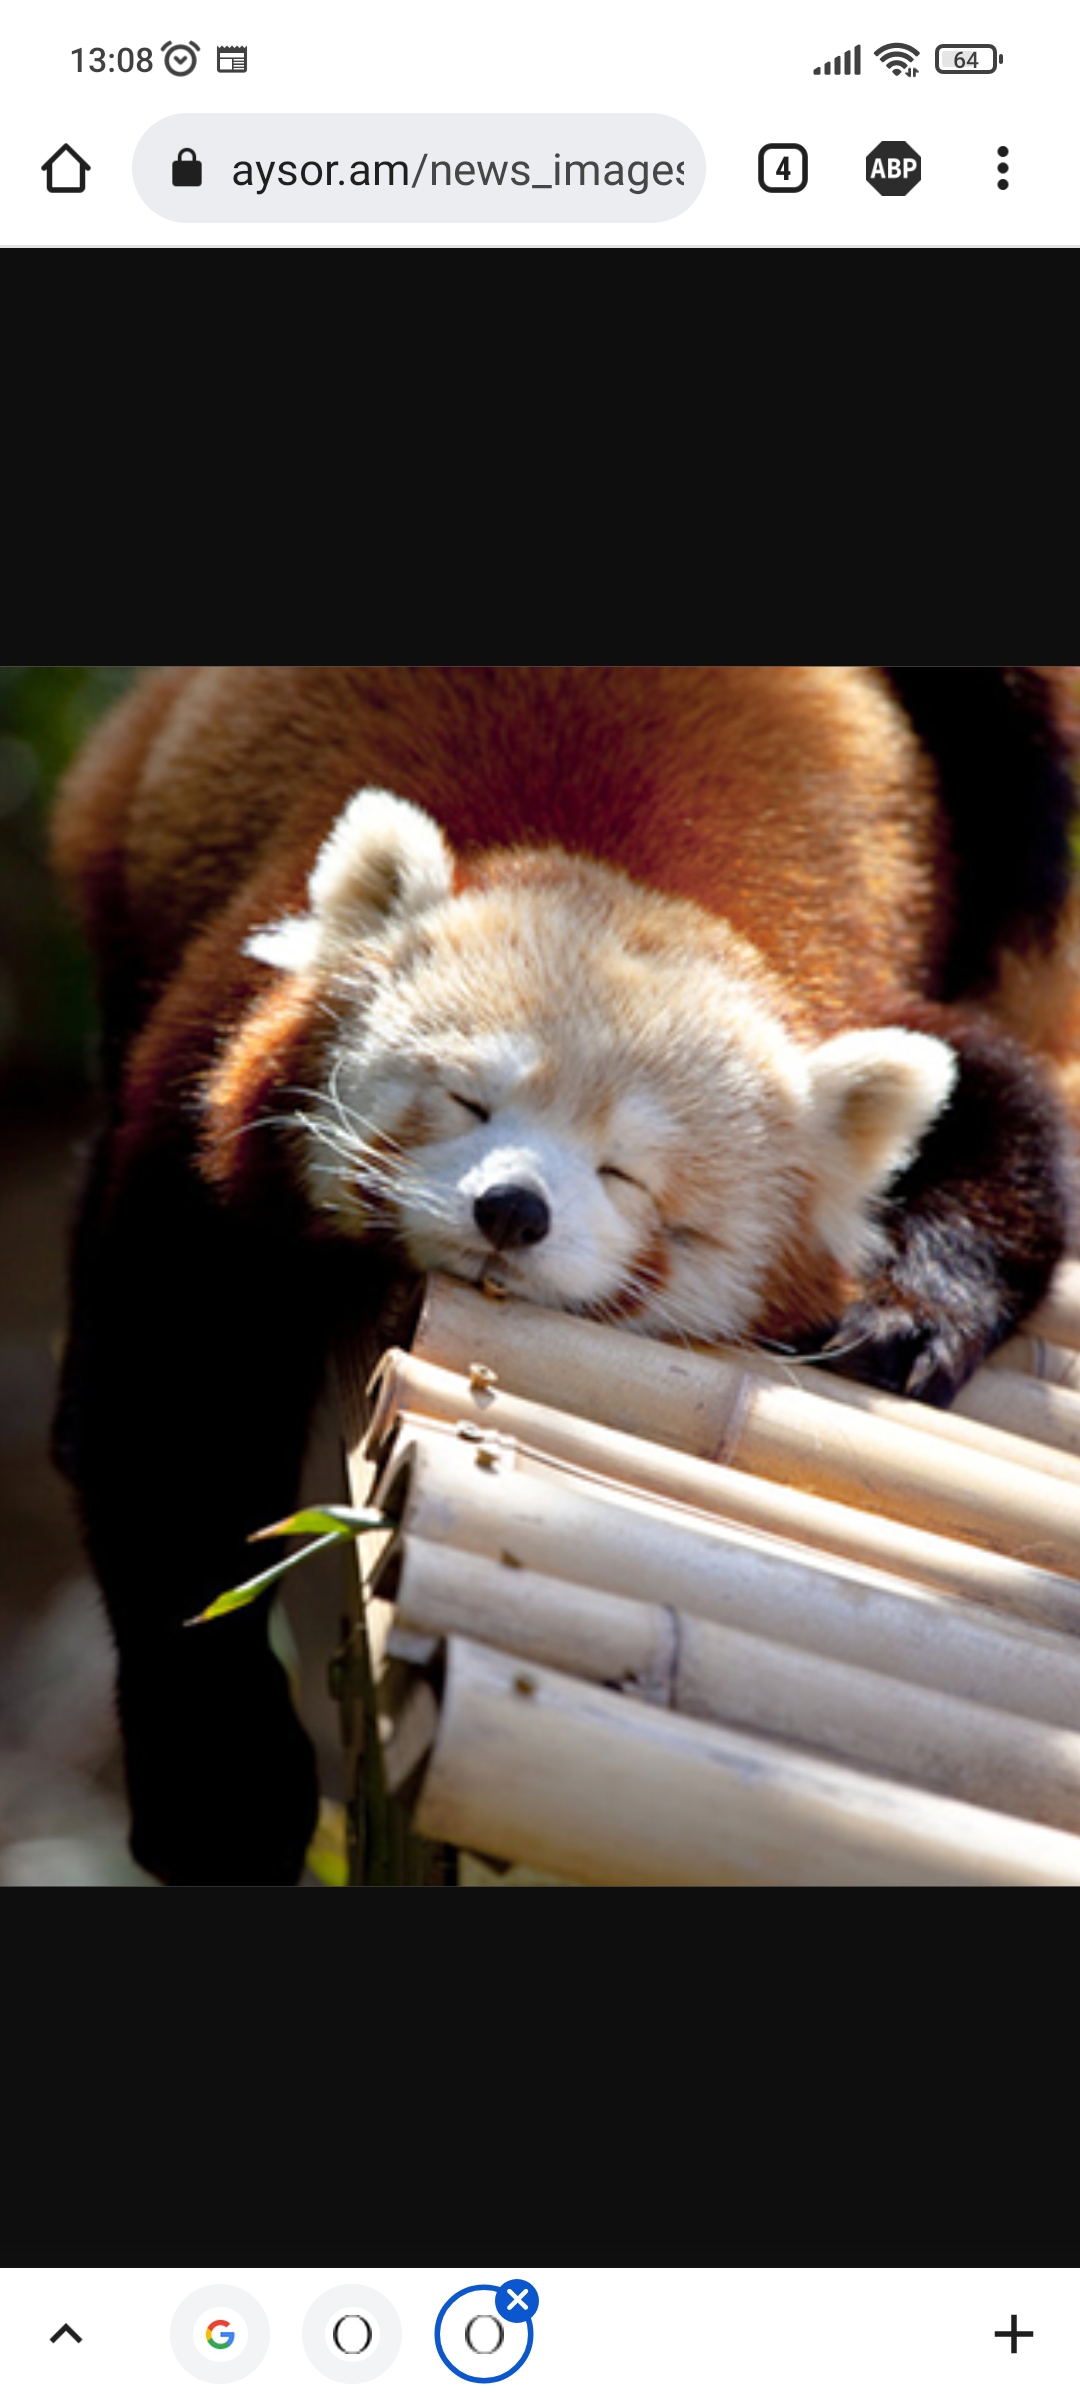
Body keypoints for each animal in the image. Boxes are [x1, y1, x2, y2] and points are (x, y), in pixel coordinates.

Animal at [50, 666, 1080, 1884]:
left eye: (621, 1173)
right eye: (467, 1101)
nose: (512, 1209)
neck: (632, 869)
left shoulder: (856, 1000)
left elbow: (1006, 1113)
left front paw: (908, 1316)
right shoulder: (206, 1083)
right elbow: (164, 1422)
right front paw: (219, 1789)